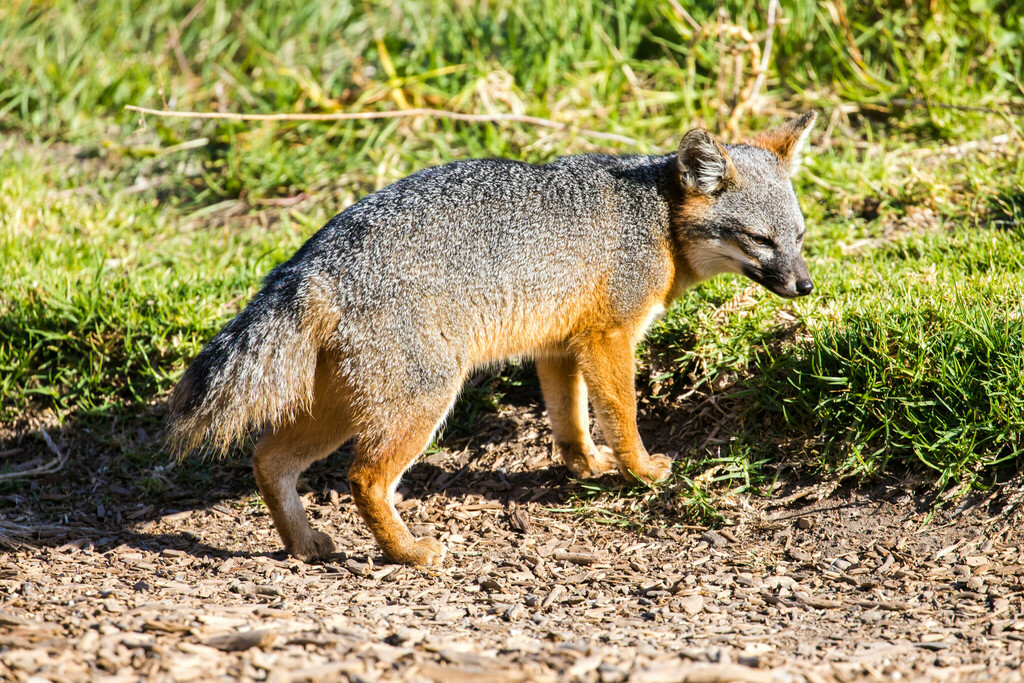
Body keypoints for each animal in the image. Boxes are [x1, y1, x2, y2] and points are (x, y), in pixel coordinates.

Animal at [165, 112, 818, 566]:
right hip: (423, 399)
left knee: (268, 458)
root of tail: (313, 262)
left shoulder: (559, 346)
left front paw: (587, 465)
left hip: (343, 407)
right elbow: (622, 414)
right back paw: (410, 554)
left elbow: (570, 419)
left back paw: (305, 544)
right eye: (761, 240)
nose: (806, 285)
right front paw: (643, 471)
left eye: (801, 236)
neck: (654, 216)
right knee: (364, 479)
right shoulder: (609, 337)